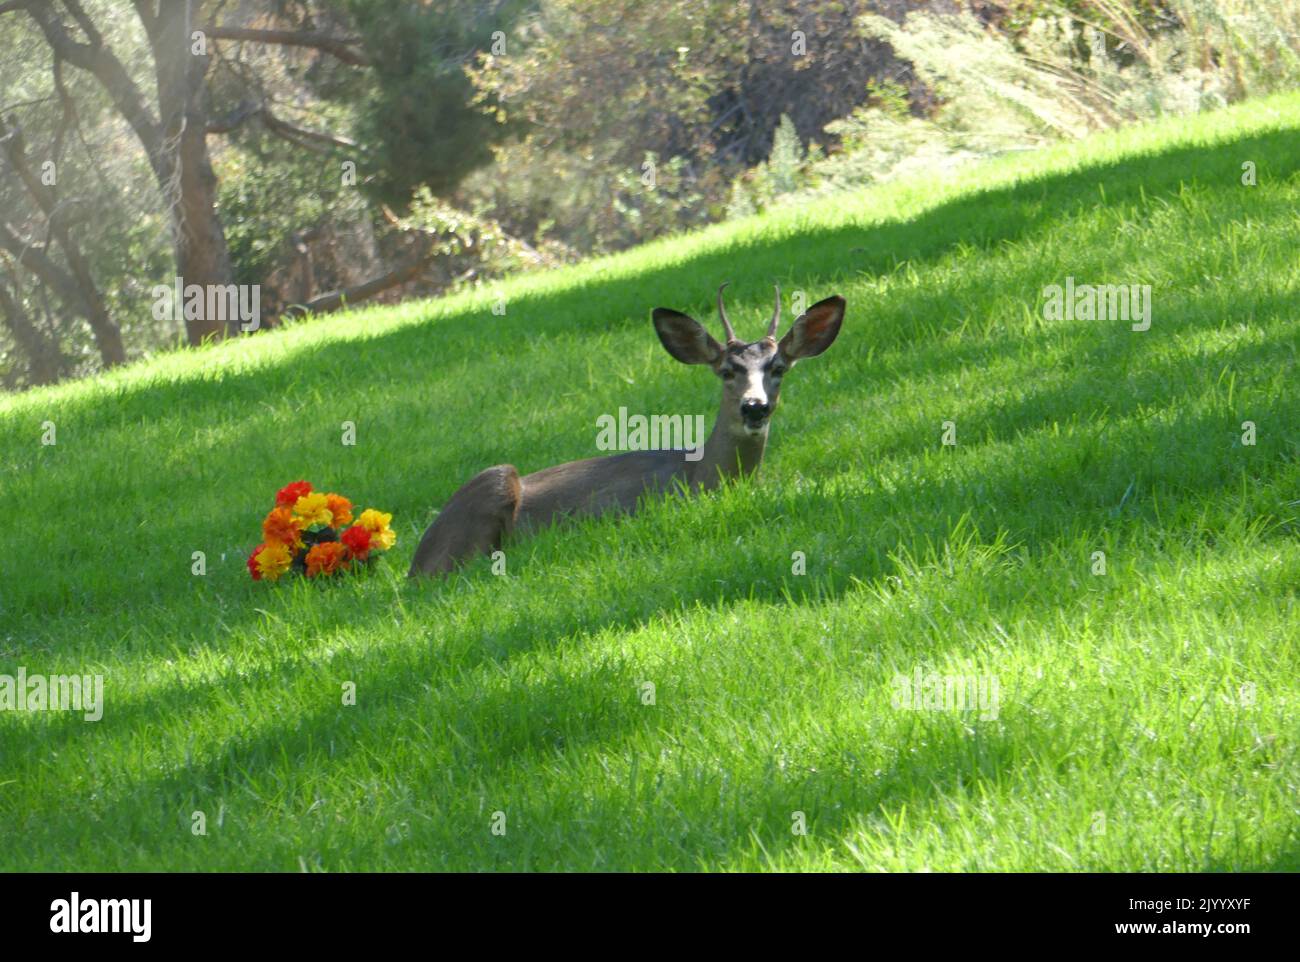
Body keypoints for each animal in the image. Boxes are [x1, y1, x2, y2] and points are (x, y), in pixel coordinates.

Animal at [408, 284, 846, 577]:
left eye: (778, 368)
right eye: (727, 371)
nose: (755, 407)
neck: (699, 475)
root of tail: (415, 562)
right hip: (494, 482)